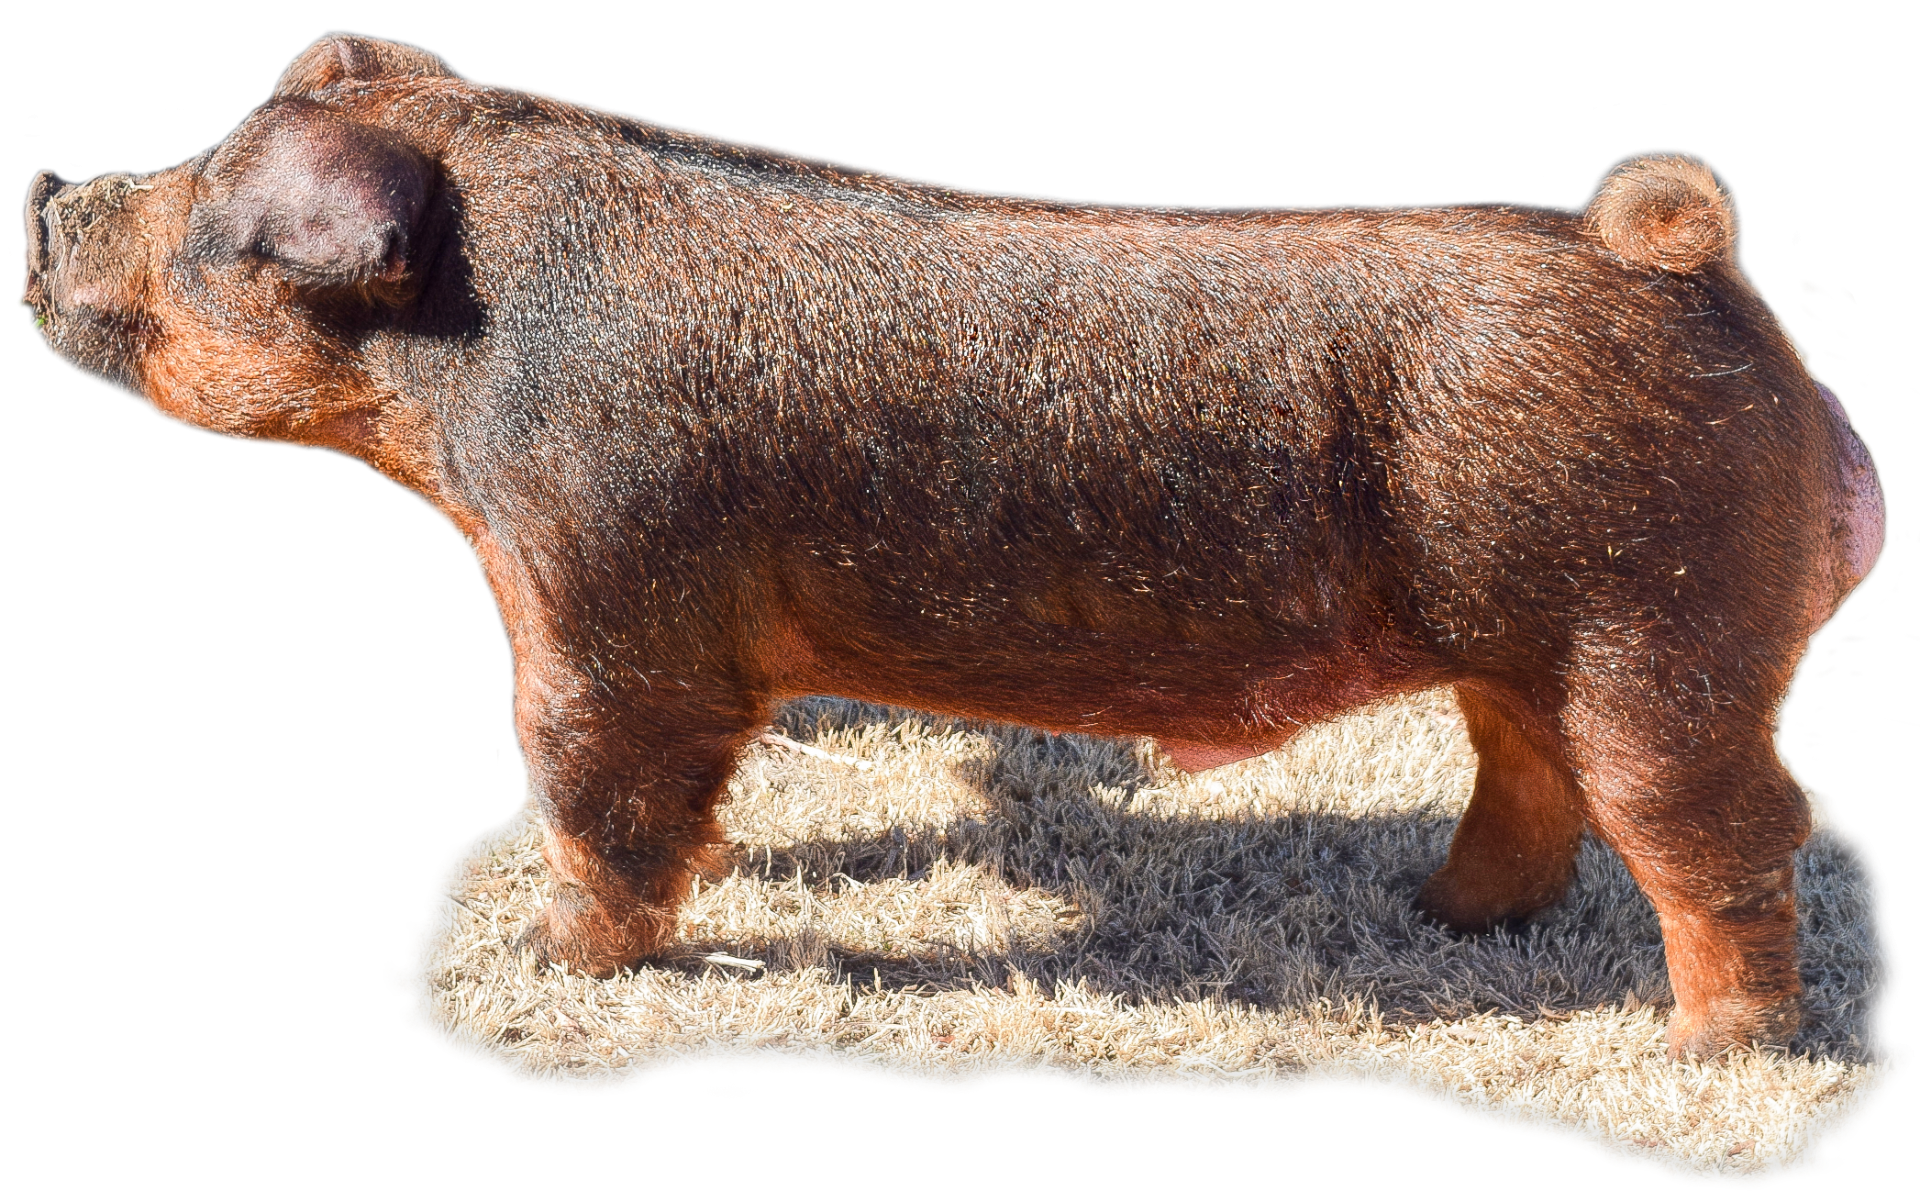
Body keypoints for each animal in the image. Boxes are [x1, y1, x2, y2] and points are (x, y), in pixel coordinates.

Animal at [18, 30, 1886, 1060]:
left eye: (215, 228)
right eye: (190, 161)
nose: (42, 189)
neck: (469, 386)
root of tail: (1664, 244)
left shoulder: (608, 591)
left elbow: (588, 772)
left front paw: (559, 963)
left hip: (1664, 635)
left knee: (1728, 836)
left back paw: (1713, 1055)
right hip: (1536, 646)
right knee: (1532, 781)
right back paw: (1449, 920)